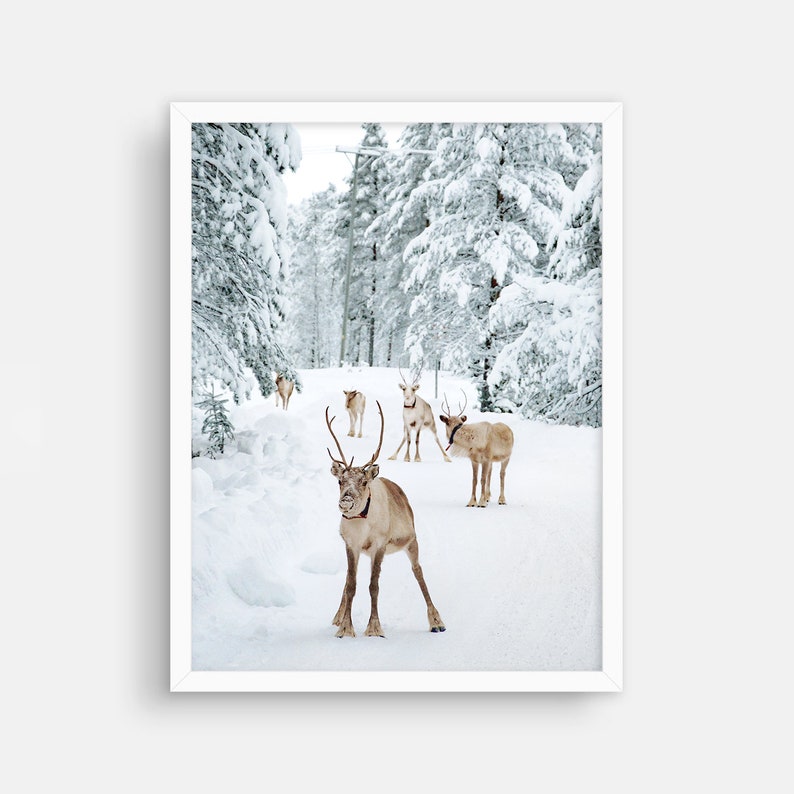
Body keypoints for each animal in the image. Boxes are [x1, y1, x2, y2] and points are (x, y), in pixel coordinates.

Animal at [325, 400, 446, 638]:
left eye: (363, 482)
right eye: (340, 481)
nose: (346, 501)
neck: (361, 523)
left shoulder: (379, 545)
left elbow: (374, 586)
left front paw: (374, 628)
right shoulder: (351, 545)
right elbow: (351, 584)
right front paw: (345, 628)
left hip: (412, 541)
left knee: (418, 572)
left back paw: (436, 621)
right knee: (348, 581)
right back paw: (337, 617)